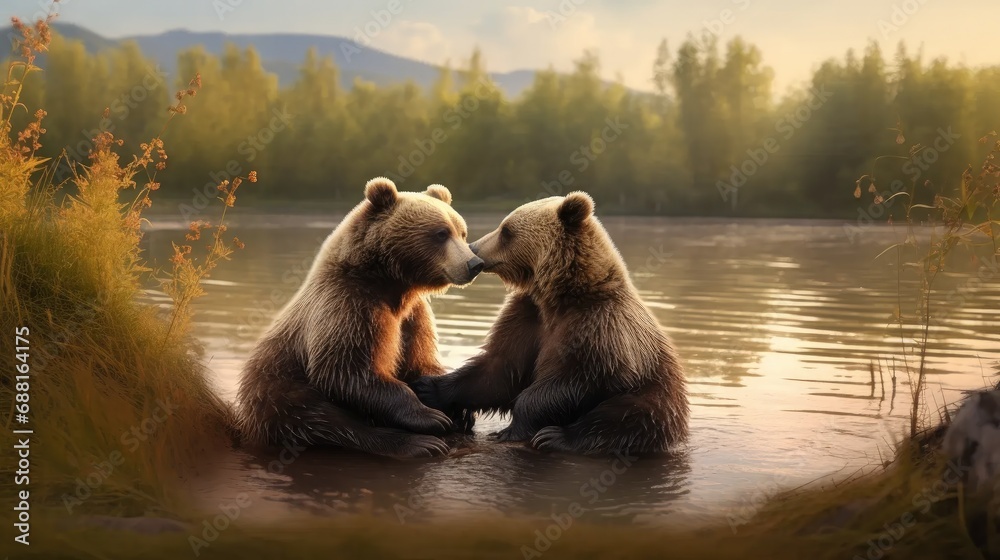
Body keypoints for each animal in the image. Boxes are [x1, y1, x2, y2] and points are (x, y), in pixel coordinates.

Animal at [236, 177, 485, 459]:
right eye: (441, 233)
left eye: (462, 232)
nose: (474, 264)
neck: (390, 284)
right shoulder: (349, 307)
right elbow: (348, 371)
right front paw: (431, 417)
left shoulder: (413, 315)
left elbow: (419, 360)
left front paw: (459, 410)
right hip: (277, 390)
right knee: (323, 421)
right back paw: (417, 444)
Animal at [412, 191, 689, 455]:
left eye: (506, 230)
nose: (475, 248)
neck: (559, 295)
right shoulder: (528, 316)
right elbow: (499, 367)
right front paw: (428, 386)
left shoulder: (599, 327)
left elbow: (573, 380)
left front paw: (513, 428)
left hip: (655, 393)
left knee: (626, 417)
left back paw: (558, 436)